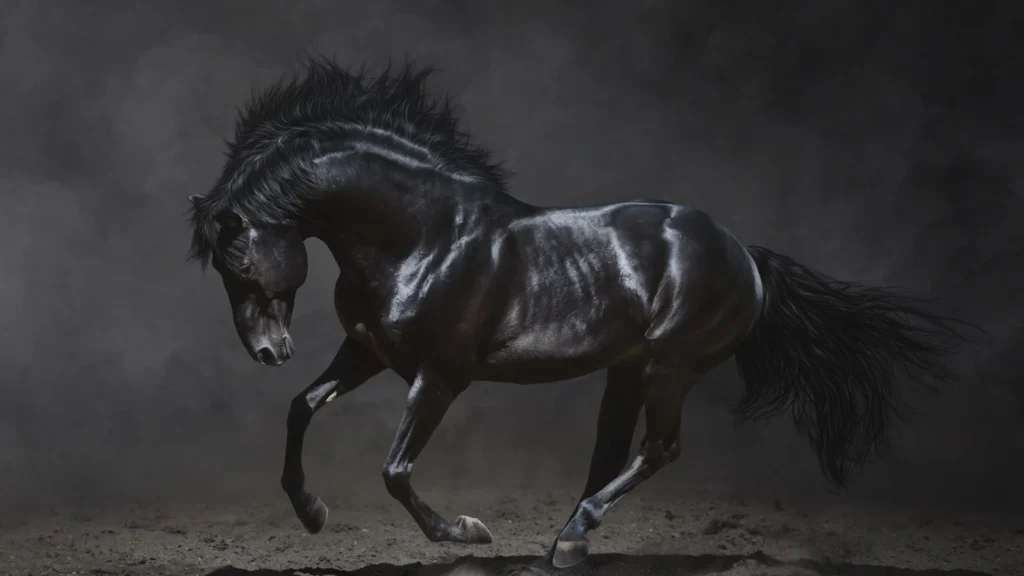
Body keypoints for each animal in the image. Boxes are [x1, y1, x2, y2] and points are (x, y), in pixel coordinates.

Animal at [185, 57, 975, 569]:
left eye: (239, 261)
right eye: (221, 270)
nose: (268, 351)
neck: (422, 237)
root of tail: (744, 254)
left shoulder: (439, 376)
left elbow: (396, 470)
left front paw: (467, 533)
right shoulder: (369, 353)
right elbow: (301, 407)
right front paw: (311, 513)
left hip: (669, 368)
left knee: (658, 450)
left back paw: (572, 538)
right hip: (627, 371)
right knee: (610, 453)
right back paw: (566, 542)